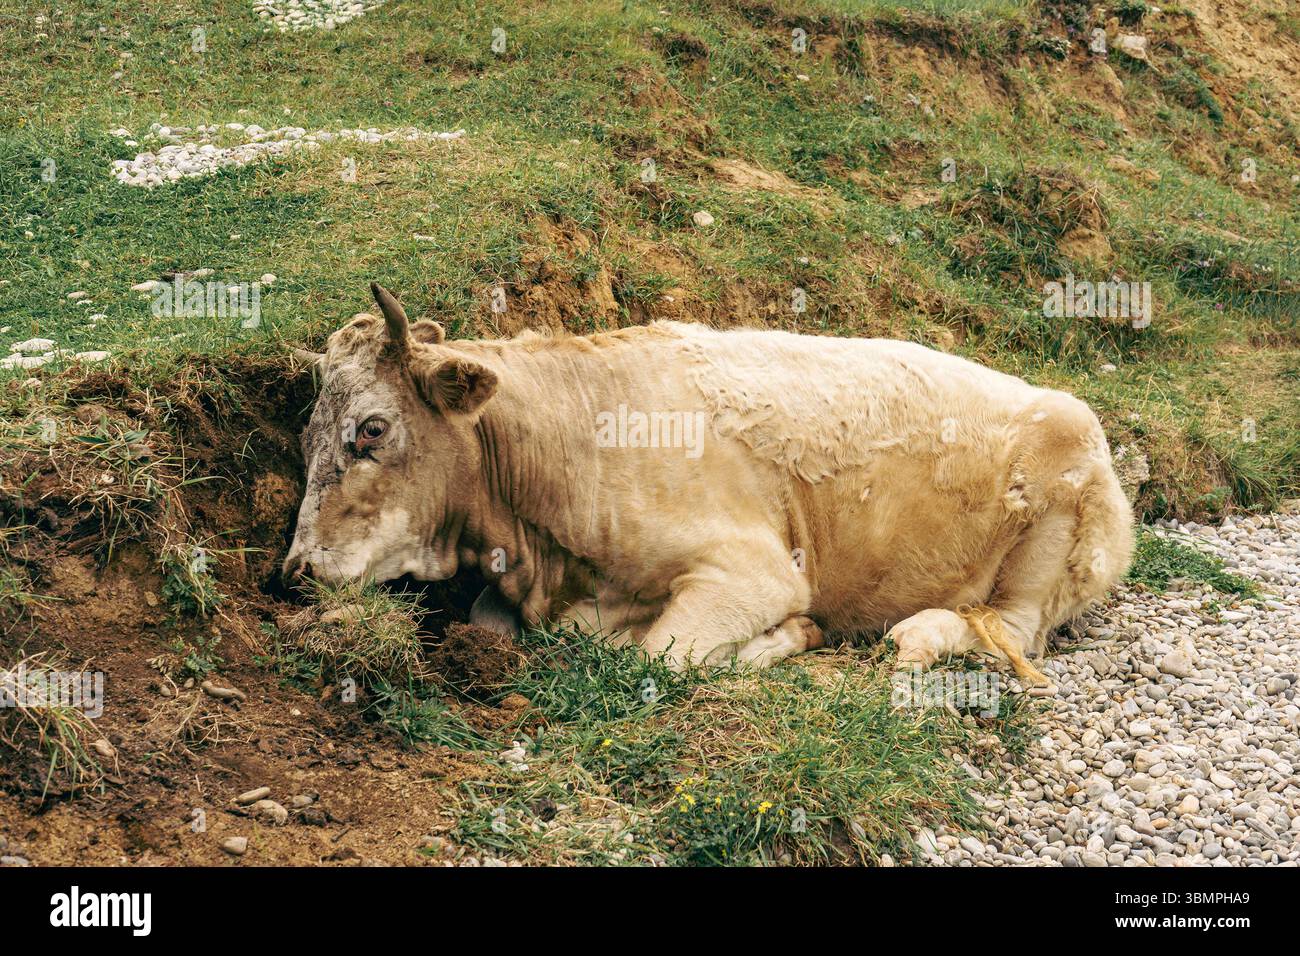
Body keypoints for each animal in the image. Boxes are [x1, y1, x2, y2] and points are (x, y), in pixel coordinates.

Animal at [284, 283, 1133, 678]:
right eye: (305, 436)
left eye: (371, 430)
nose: (295, 571)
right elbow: (488, 623)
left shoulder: (753, 572)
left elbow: (659, 656)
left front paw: (790, 637)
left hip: (1053, 526)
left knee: (1011, 626)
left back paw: (919, 632)